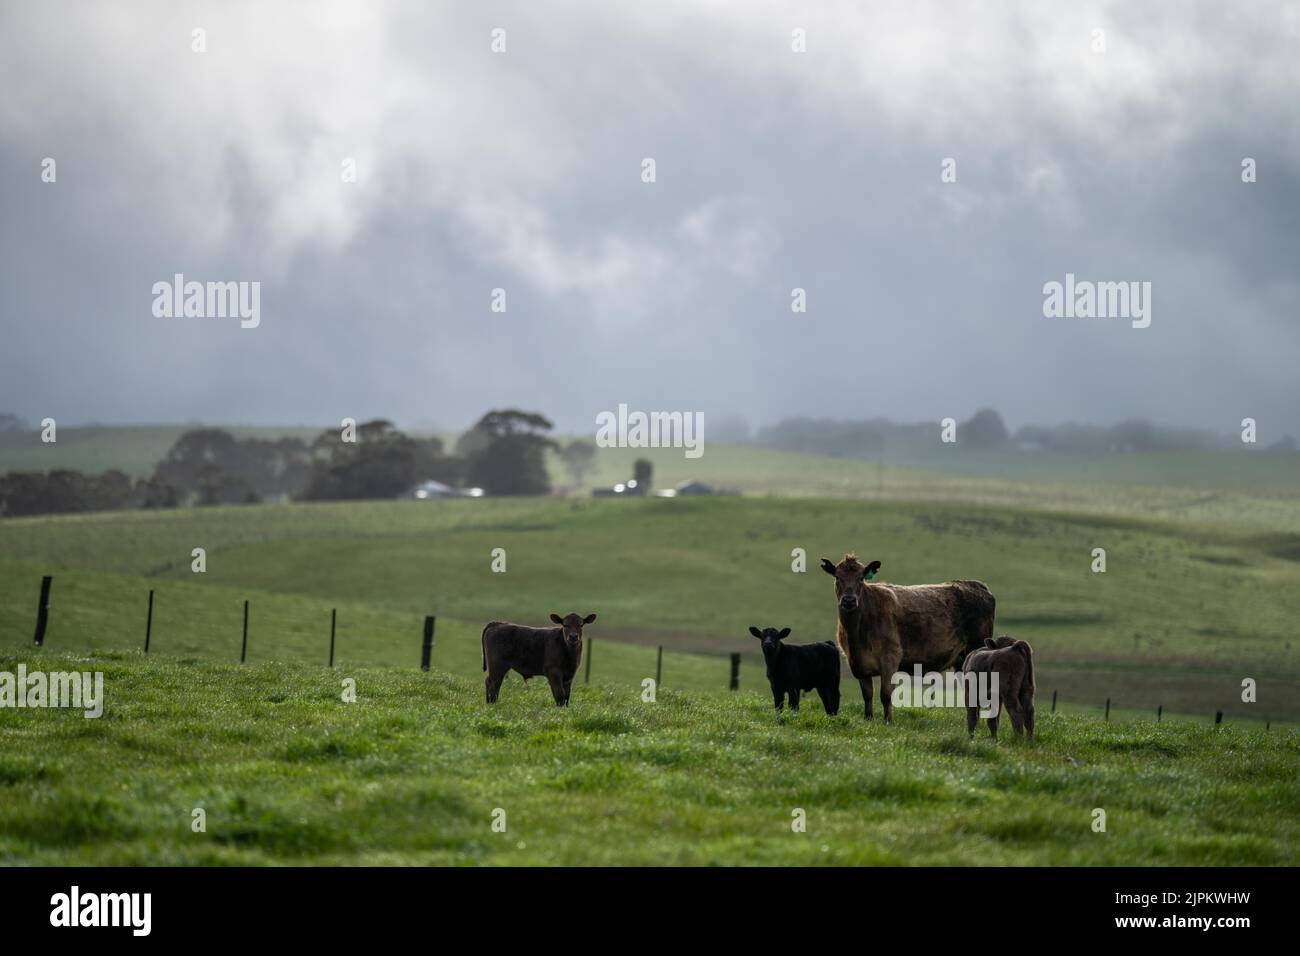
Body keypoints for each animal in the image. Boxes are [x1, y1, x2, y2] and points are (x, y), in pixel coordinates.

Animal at [820, 553, 995, 723]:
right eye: (837, 577)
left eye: (861, 578)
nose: (849, 600)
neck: (857, 635)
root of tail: (976, 585)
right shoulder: (858, 664)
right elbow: (867, 695)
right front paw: (868, 719)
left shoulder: (890, 658)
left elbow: (885, 694)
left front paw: (888, 721)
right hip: (961, 661)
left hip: (975, 649)